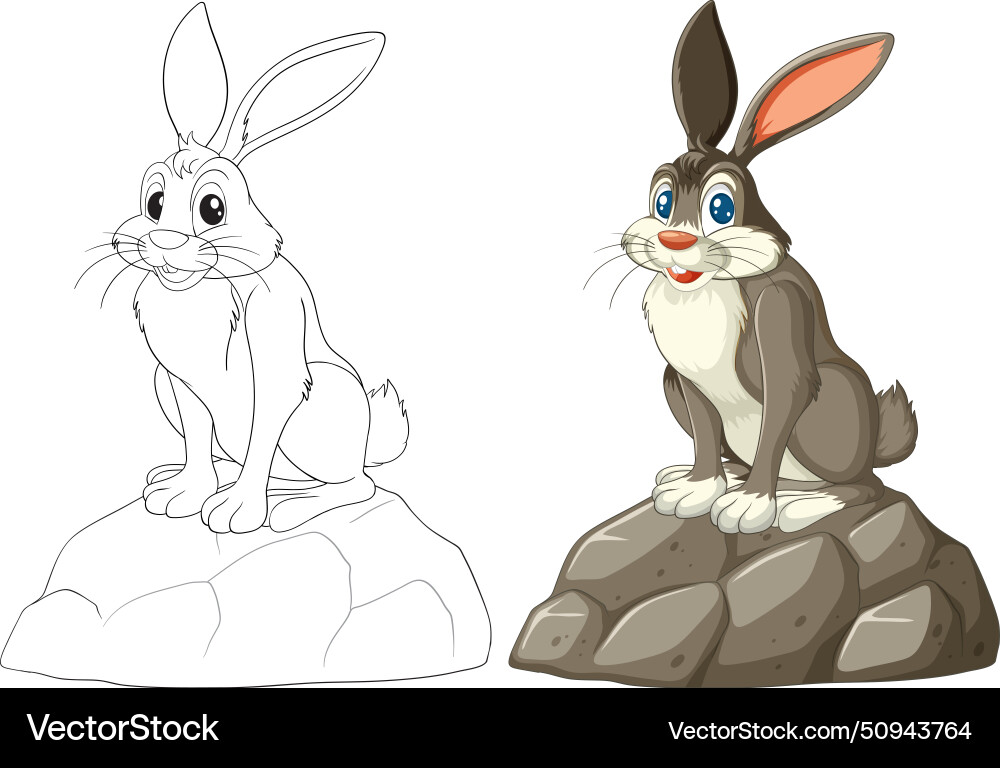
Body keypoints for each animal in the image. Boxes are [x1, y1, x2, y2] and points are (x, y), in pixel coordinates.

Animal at [106, 4, 407, 534]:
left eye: (212, 208)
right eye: (154, 202)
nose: (164, 243)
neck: (200, 287)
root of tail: (369, 442)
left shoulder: (274, 359)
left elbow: (263, 430)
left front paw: (237, 512)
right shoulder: (178, 381)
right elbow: (197, 436)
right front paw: (184, 495)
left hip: (322, 407)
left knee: (357, 484)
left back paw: (290, 508)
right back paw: (173, 476)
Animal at [620, 1, 917, 534]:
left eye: (721, 207)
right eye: (662, 201)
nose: (674, 240)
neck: (709, 285)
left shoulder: (780, 318)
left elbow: (781, 406)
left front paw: (750, 506)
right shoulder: (684, 376)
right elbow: (703, 430)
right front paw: (696, 488)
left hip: (836, 405)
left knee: (864, 486)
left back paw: (801, 504)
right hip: (670, 382)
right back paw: (707, 476)